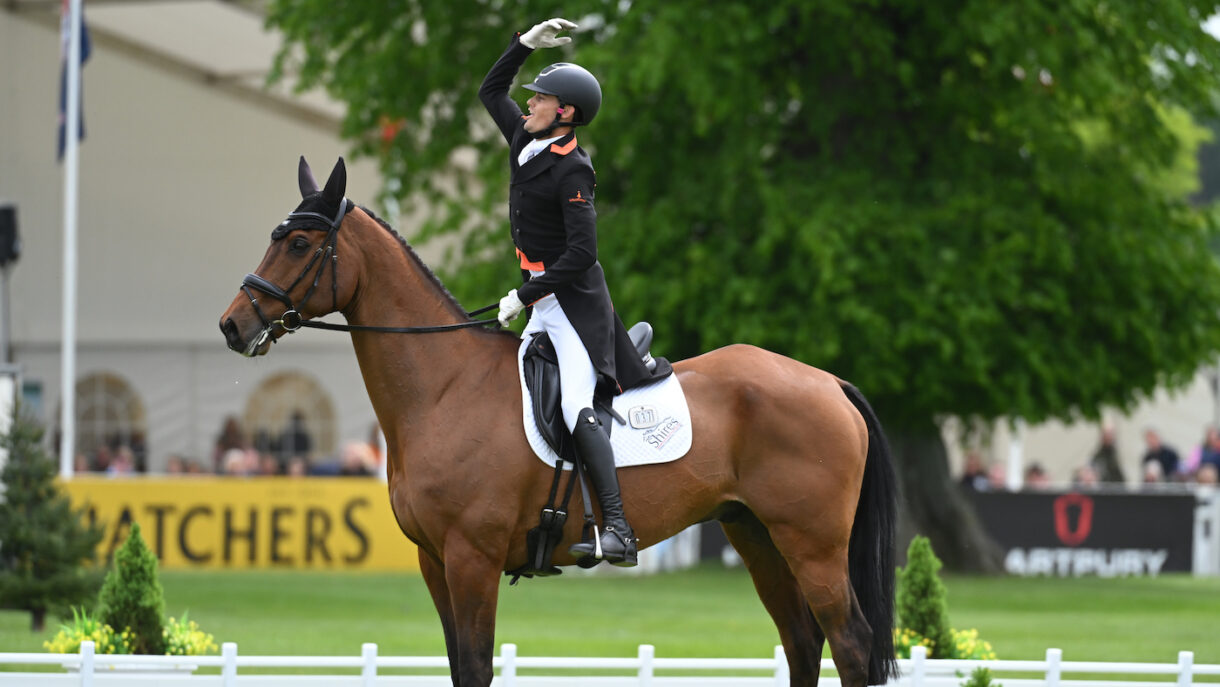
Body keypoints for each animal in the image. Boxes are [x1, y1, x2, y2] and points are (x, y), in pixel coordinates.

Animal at [219, 157, 899, 687]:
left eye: (299, 245)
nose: (233, 325)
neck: (444, 389)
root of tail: (828, 383)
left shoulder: (472, 558)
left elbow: (475, 667)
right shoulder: (435, 561)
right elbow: (457, 666)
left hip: (812, 545)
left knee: (850, 643)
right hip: (758, 535)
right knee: (803, 642)